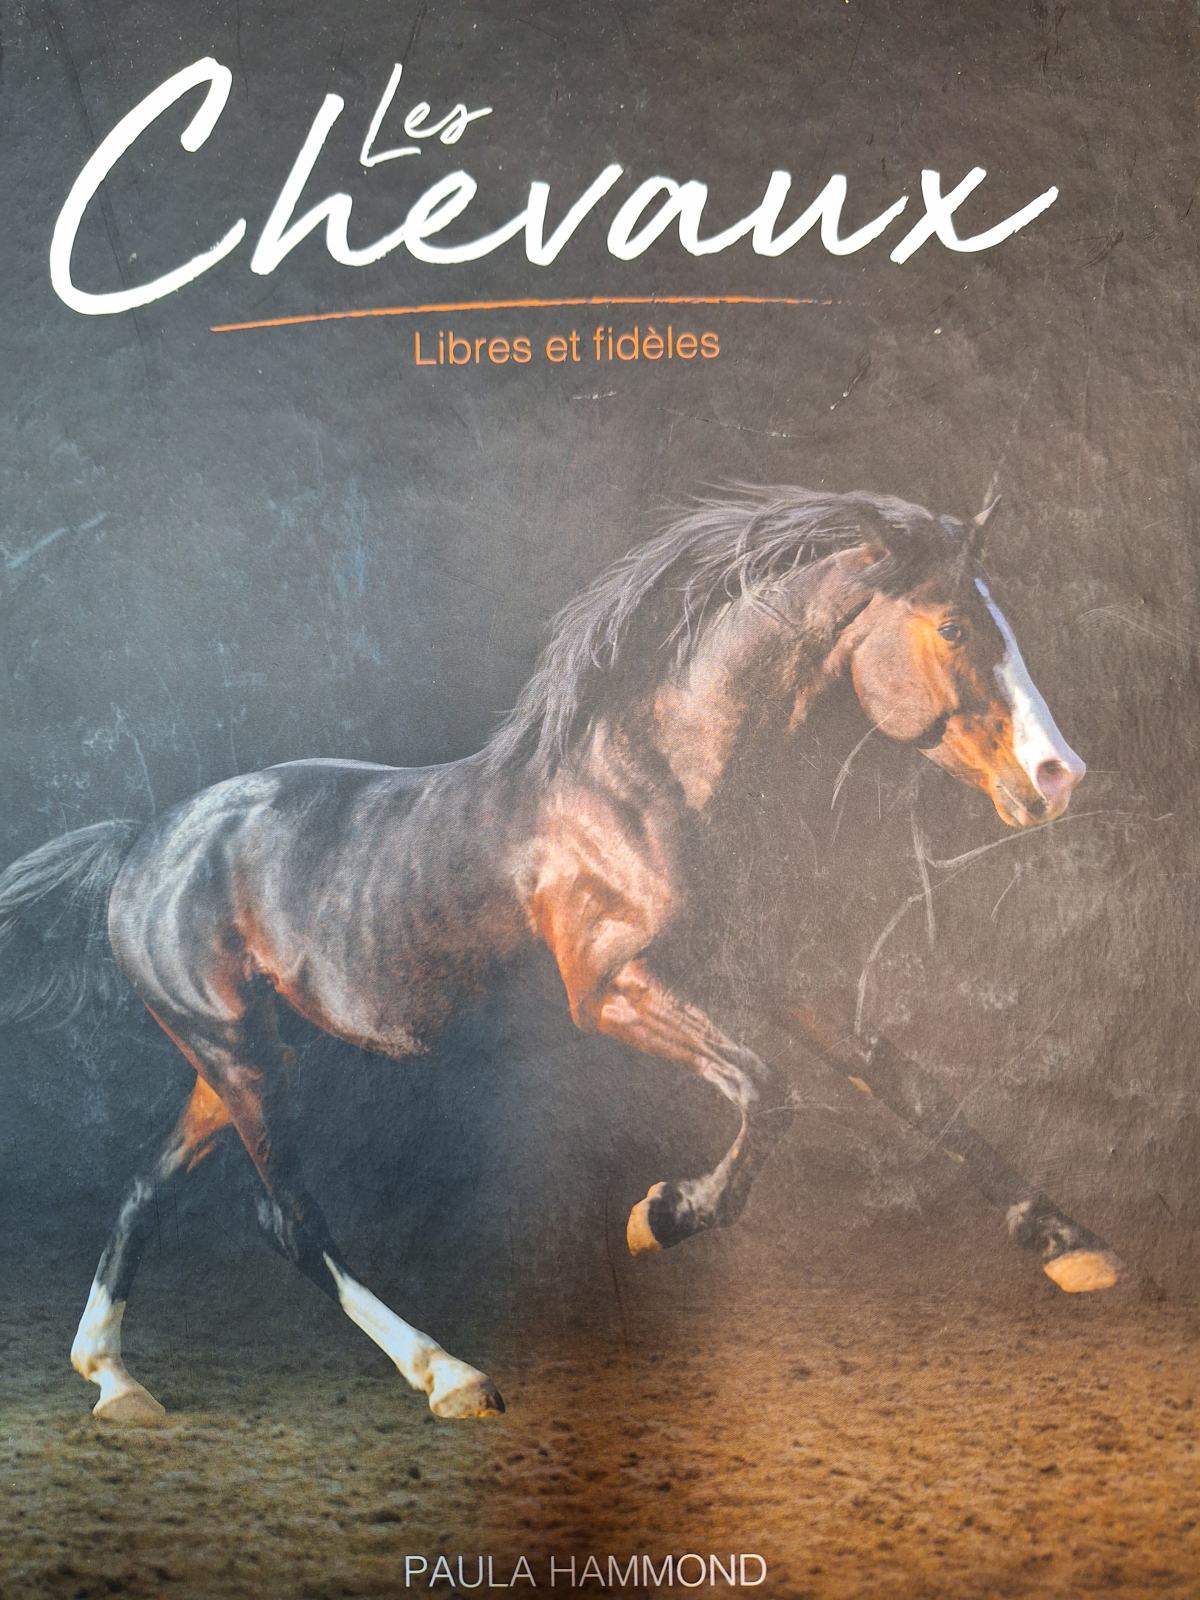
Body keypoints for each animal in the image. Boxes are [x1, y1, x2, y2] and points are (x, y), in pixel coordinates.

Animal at [0, 484, 1118, 1427]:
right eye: (956, 625)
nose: (1059, 776)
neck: (657, 781)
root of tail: (140, 844)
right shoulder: (615, 988)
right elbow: (769, 1093)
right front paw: (660, 1215)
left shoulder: (767, 977)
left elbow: (905, 1081)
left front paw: (1072, 1248)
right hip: (241, 1055)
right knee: (291, 1221)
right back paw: (448, 1374)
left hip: (237, 1059)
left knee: (147, 1189)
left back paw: (116, 1382)